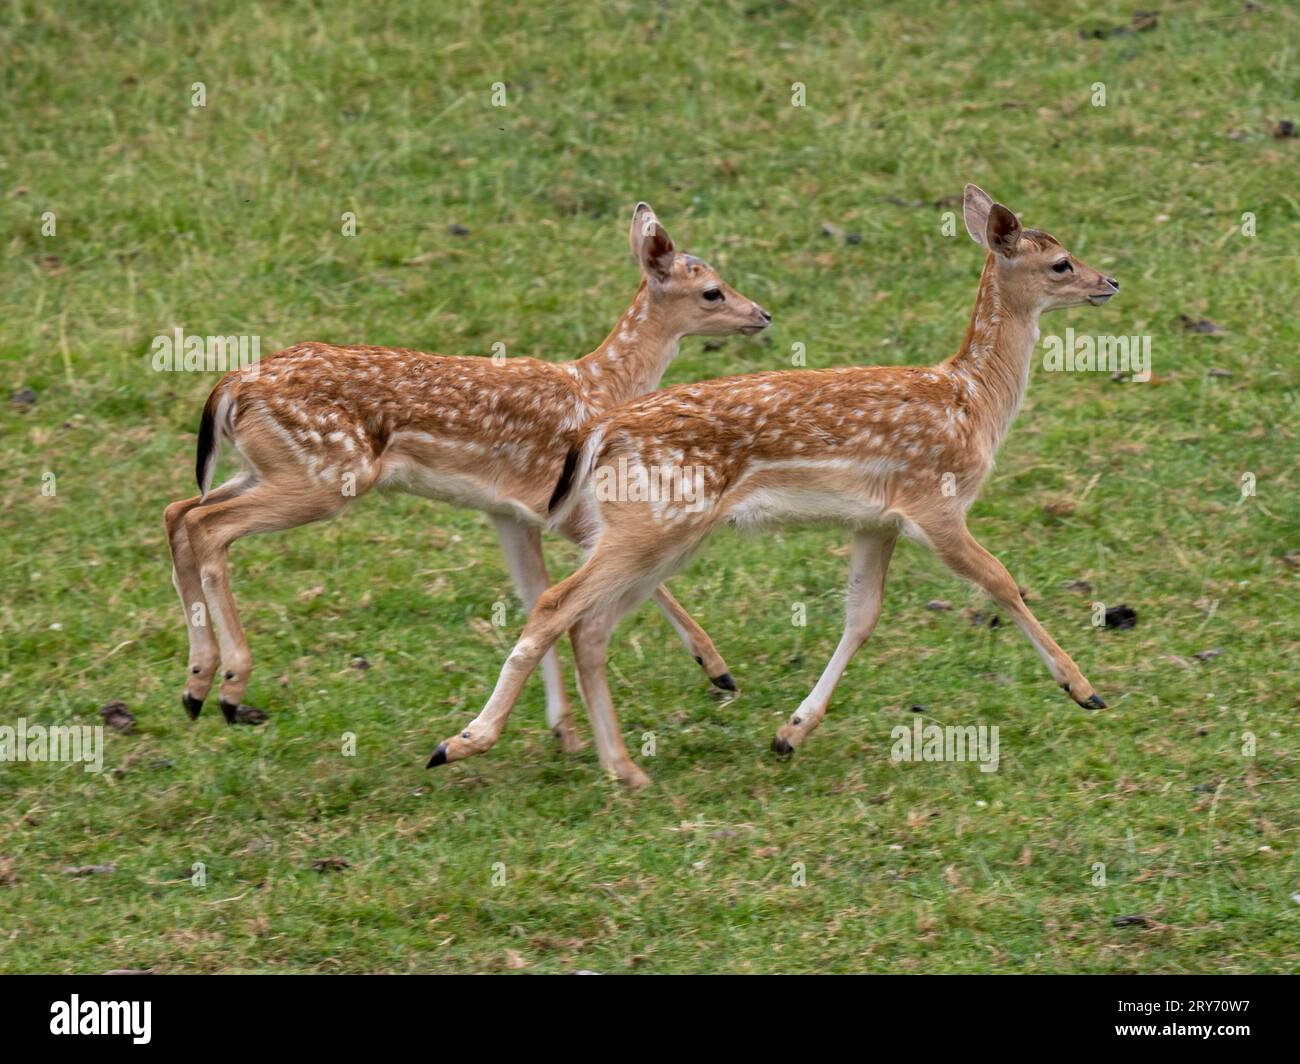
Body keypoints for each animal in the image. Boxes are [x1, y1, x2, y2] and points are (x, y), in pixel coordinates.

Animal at [163, 203, 772, 748]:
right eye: (712, 290)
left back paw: (195, 688)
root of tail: (232, 384)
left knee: (179, 512)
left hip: (270, 467)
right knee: (210, 525)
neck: (601, 386)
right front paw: (717, 669)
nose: (763, 314)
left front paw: (562, 732)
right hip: (325, 474)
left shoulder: (510, 513)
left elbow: (536, 596)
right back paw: (230, 689)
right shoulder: (566, 507)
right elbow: (617, 587)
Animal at [426, 185, 1120, 789]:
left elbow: (862, 616)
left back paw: (625, 769)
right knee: (555, 606)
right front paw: (1085, 690)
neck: (972, 402)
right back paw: (460, 743)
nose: (1109, 281)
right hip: (651, 522)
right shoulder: (935, 500)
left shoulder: (876, 520)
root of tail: (601, 430)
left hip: (660, 533)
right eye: (1060, 261)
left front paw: (790, 732)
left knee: (590, 627)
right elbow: (1002, 580)